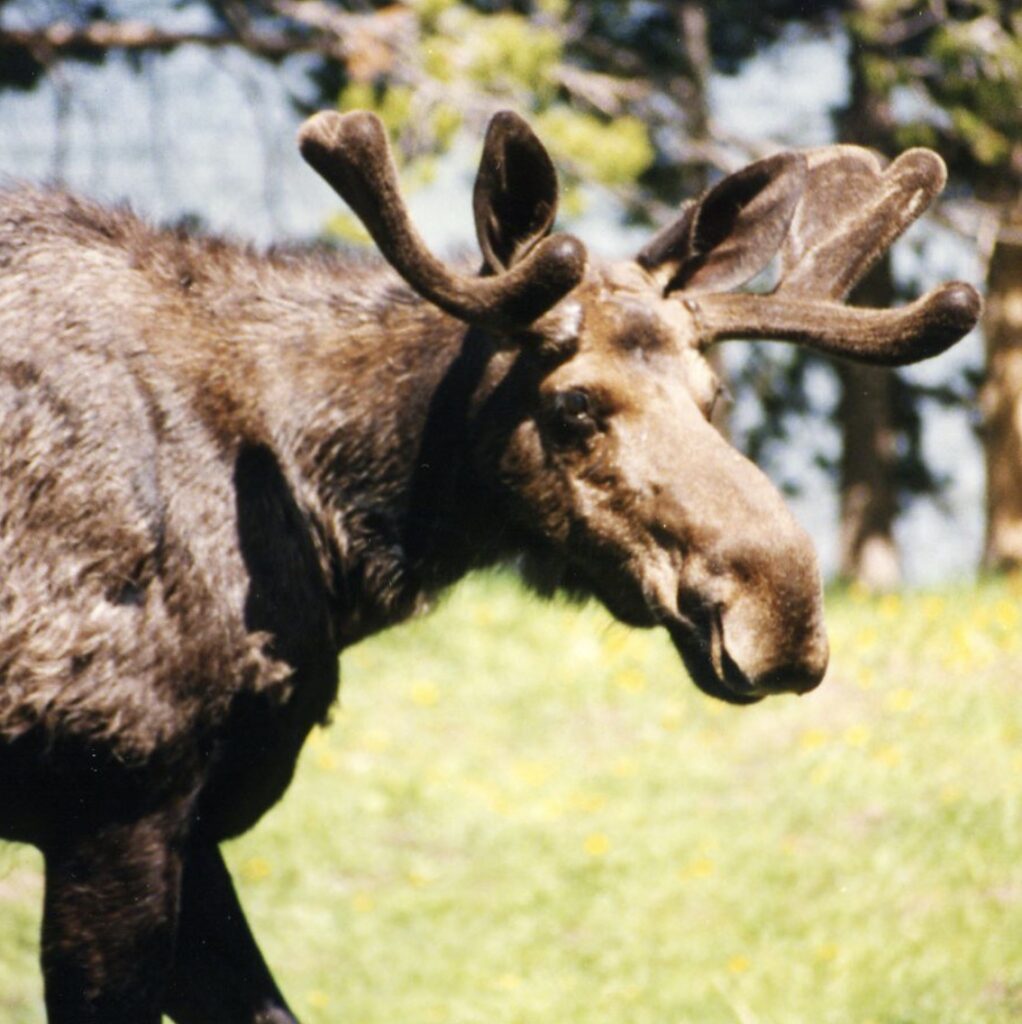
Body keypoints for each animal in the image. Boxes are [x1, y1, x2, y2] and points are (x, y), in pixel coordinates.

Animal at [0, 108, 980, 1023]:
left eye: (714, 395)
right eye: (574, 405)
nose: (785, 614)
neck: (330, 536)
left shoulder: (194, 824)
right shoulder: (116, 798)